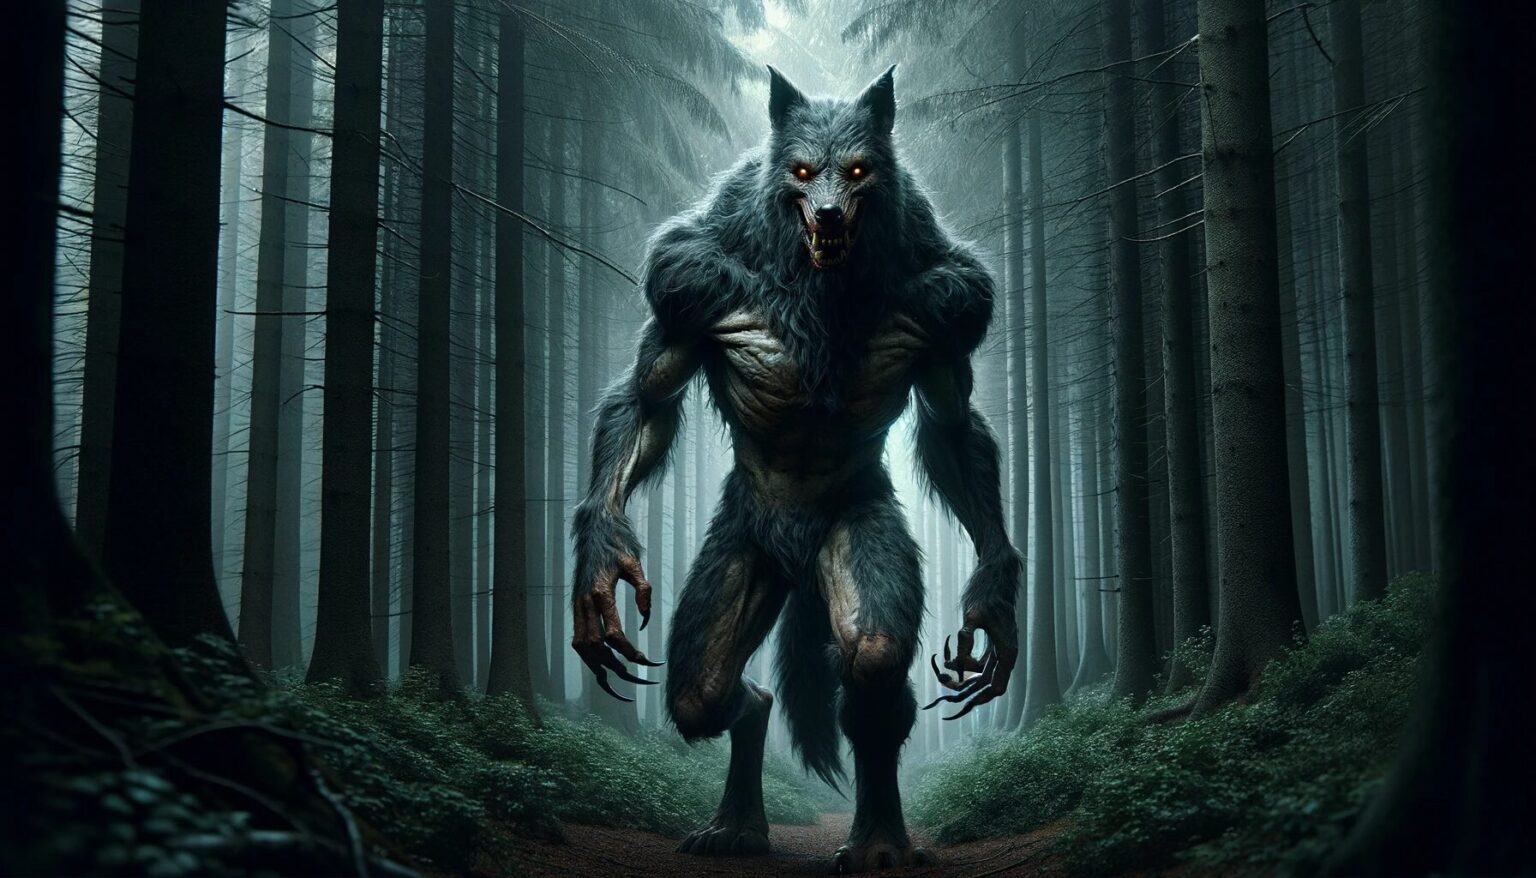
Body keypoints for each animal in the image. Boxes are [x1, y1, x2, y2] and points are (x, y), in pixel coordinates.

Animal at [568, 65, 1021, 872]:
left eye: (859, 170)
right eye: (804, 172)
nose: (831, 214)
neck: (820, 291)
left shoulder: (950, 306)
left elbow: (950, 424)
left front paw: (994, 598)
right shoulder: (687, 287)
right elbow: (650, 397)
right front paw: (601, 563)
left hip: (852, 536)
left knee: (867, 662)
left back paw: (877, 839)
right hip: (740, 551)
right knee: (707, 691)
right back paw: (738, 818)